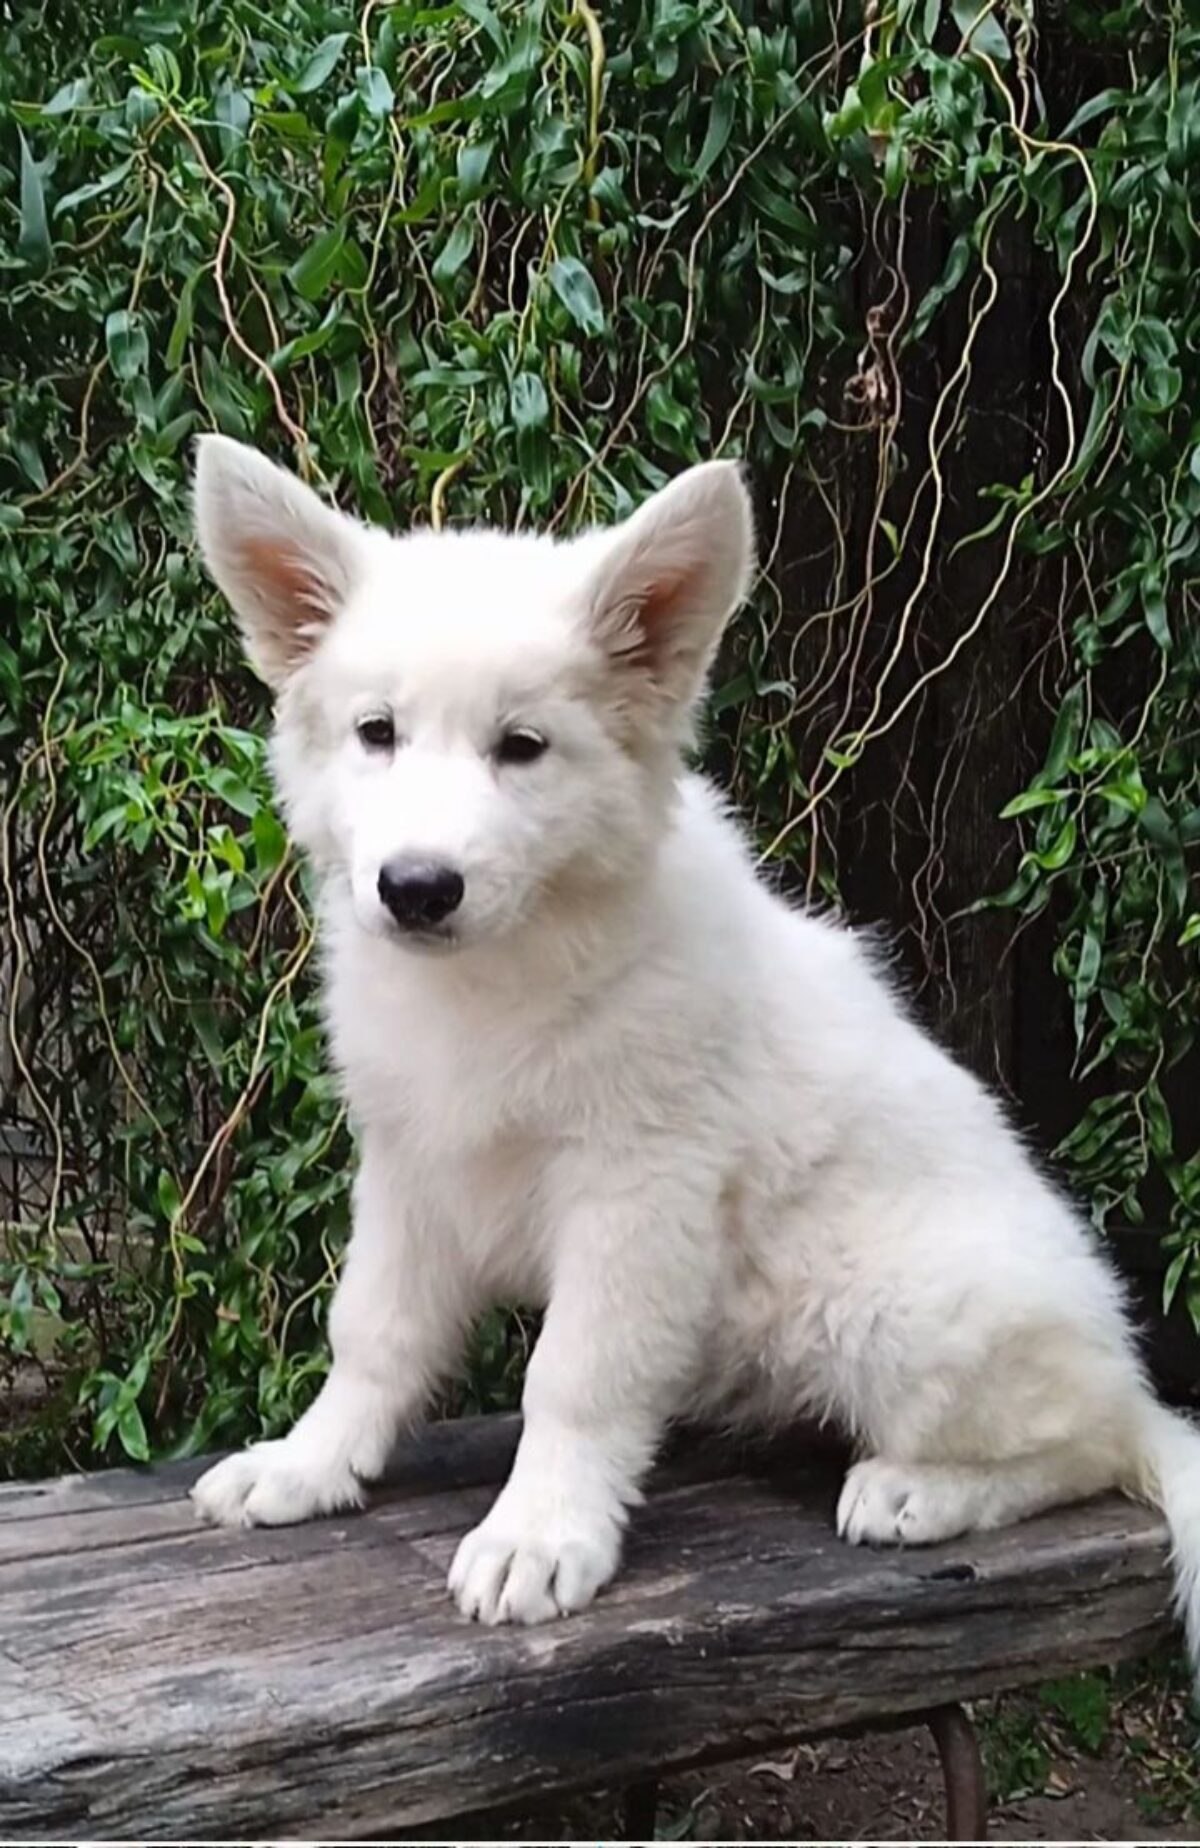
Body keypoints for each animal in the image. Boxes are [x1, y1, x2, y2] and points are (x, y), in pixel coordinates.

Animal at [190, 434, 1200, 1660]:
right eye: (375, 733)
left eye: (523, 748)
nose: (418, 889)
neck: (500, 978)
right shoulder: (411, 1167)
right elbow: (372, 1333)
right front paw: (308, 1465)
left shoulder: (637, 1190)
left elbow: (571, 1376)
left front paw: (538, 1533)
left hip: (895, 1307)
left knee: (1095, 1436)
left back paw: (921, 1488)